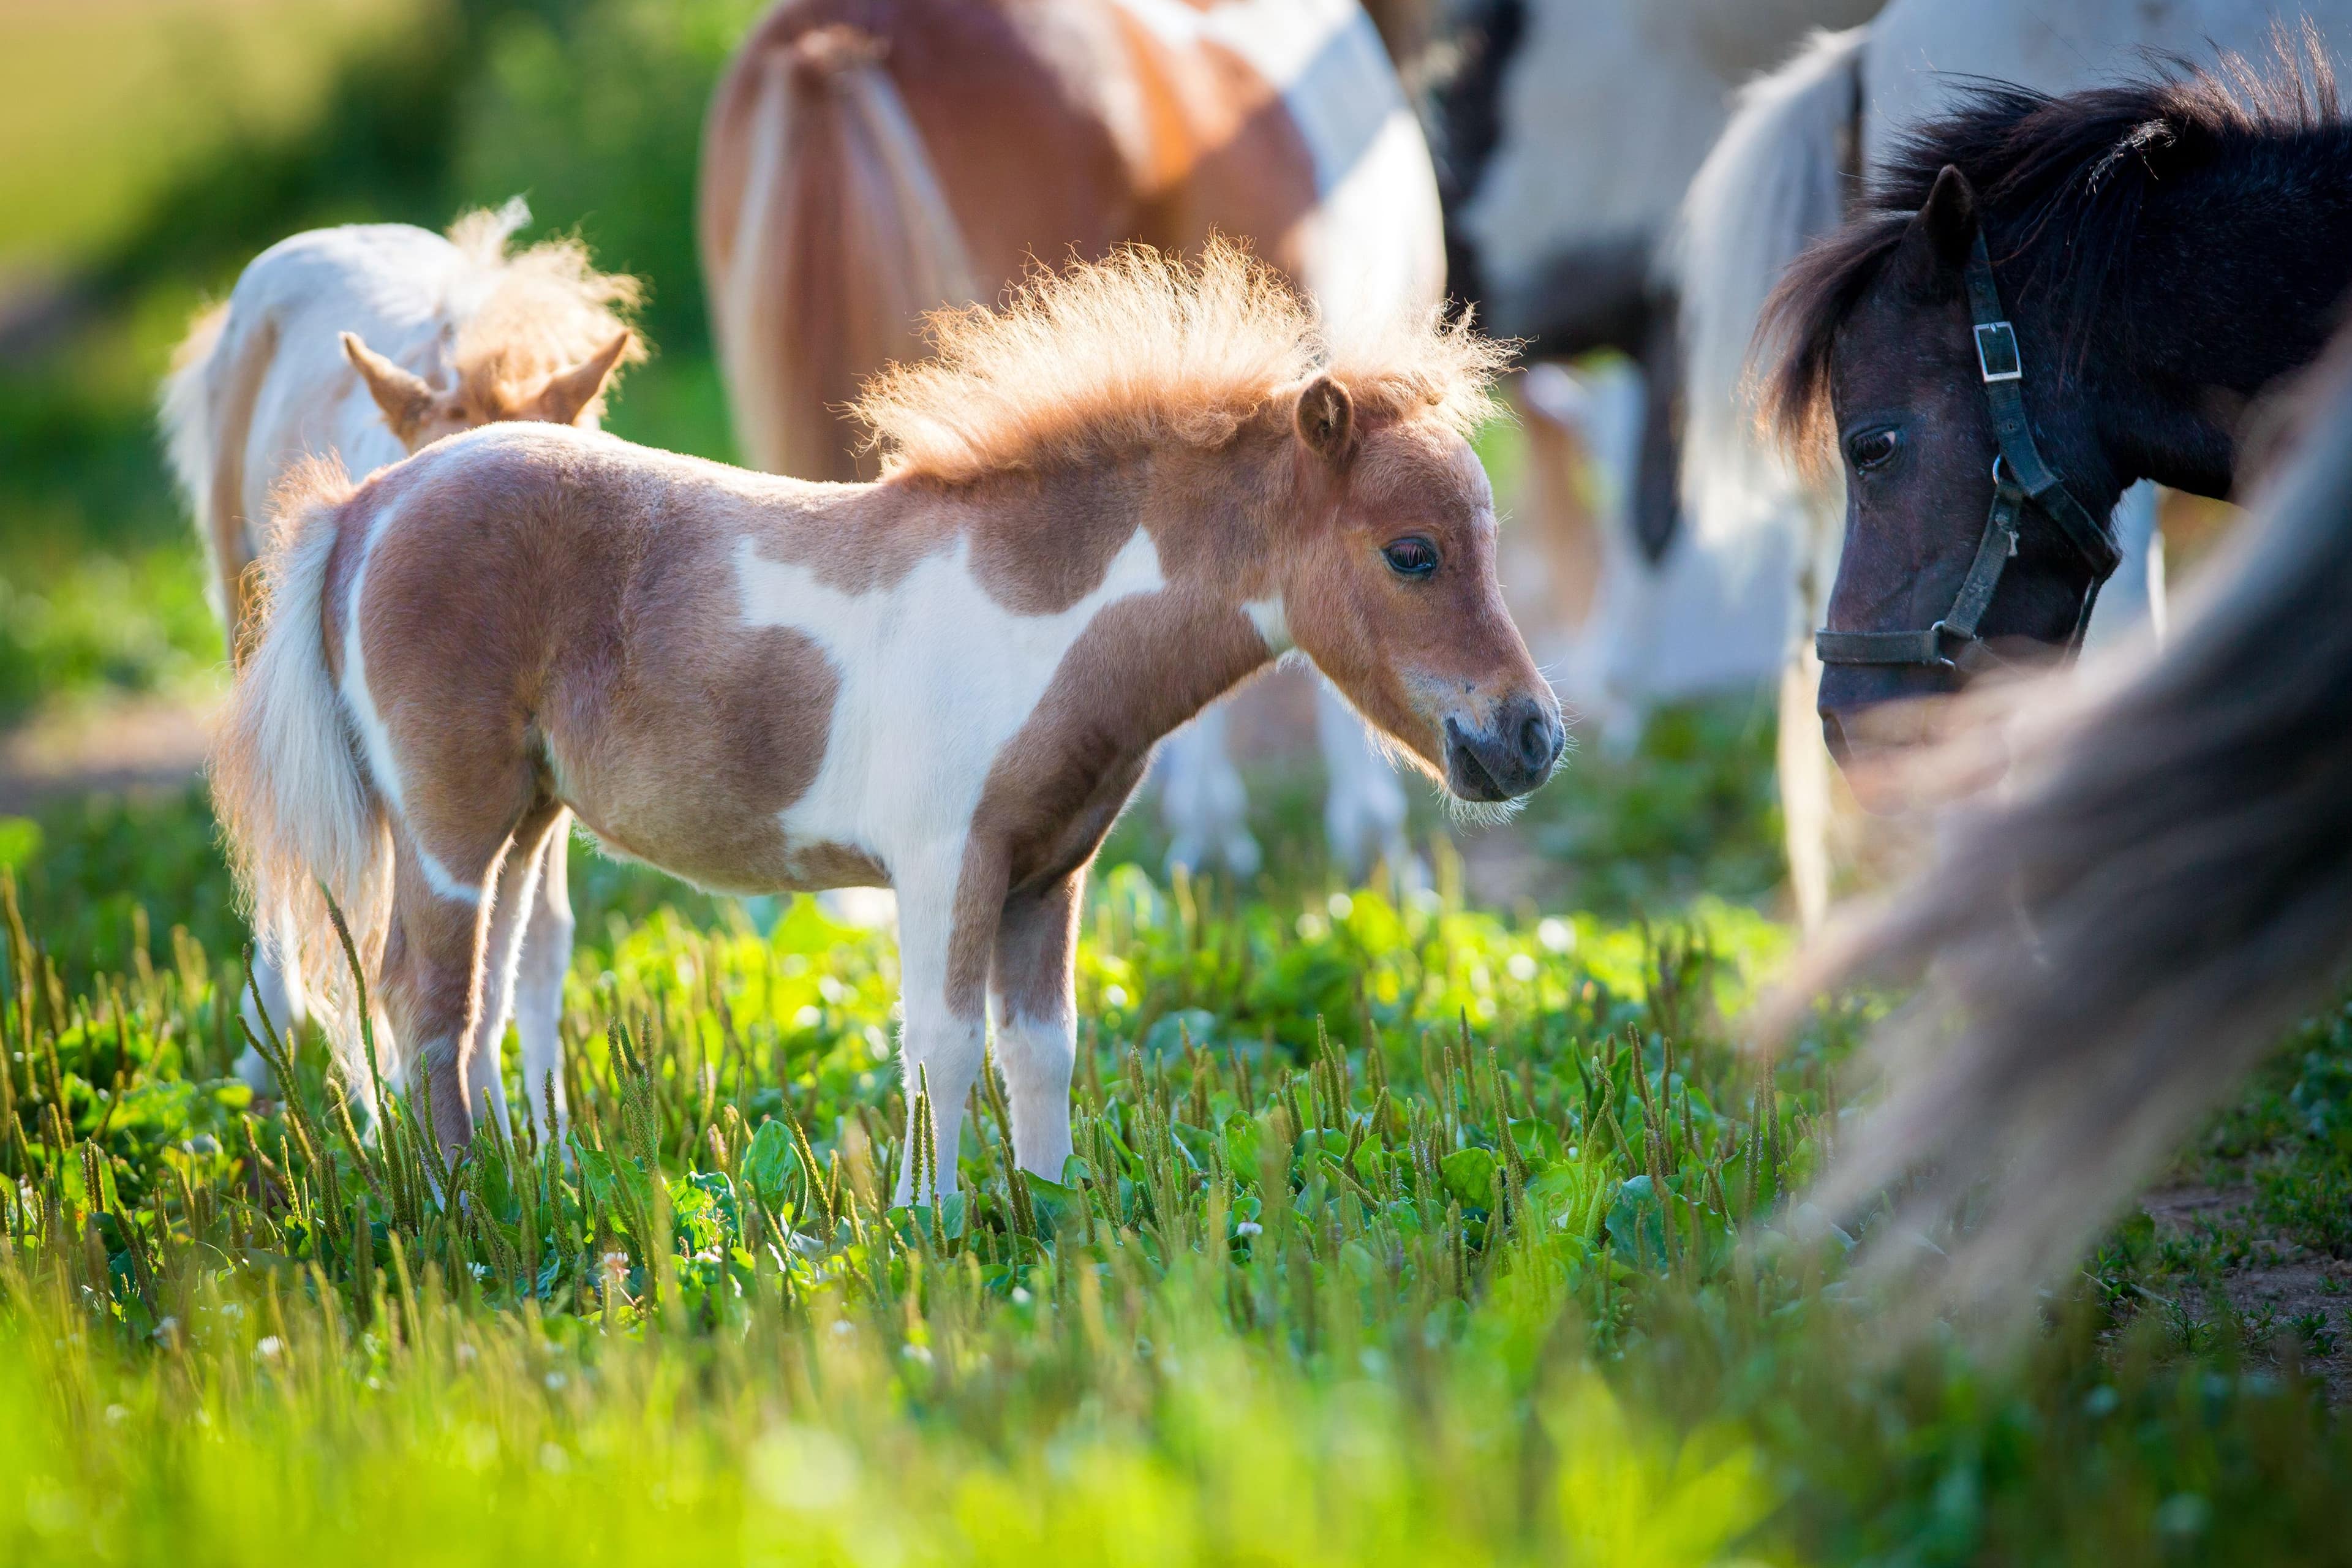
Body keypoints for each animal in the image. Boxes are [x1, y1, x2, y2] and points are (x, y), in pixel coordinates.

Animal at [159, 198, 640, 1114]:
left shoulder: (547, 767)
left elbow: (539, 936)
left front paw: (546, 1127)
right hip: (257, 638)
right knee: (289, 873)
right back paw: (267, 1066)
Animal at [210, 243, 1561, 1189]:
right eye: (1413, 553)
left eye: (1492, 541)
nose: (1532, 736)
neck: (1036, 613)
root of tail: (372, 503)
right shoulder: (946, 861)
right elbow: (941, 1044)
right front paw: (932, 1226)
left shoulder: (1048, 875)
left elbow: (1042, 1047)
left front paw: (1046, 1217)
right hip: (445, 821)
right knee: (421, 998)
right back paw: (461, 1207)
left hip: (529, 822)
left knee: (486, 999)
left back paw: (520, 1184)